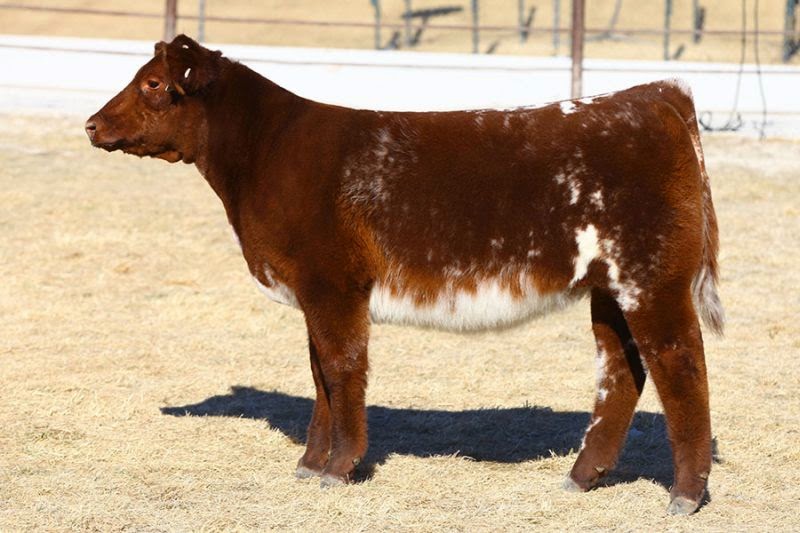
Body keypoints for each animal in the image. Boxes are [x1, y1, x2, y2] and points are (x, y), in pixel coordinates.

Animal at [86, 35, 724, 515]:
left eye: (153, 84)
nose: (92, 124)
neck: (268, 152)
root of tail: (655, 94)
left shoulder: (333, 285)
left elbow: (342, 368)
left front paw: (339, 468)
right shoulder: (315, 293)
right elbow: (319, 372)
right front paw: (309, 464)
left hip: (653, 280)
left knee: (680, 365)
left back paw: (684, 496)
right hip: (609, 288)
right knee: (620, 370)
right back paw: (581, 476)